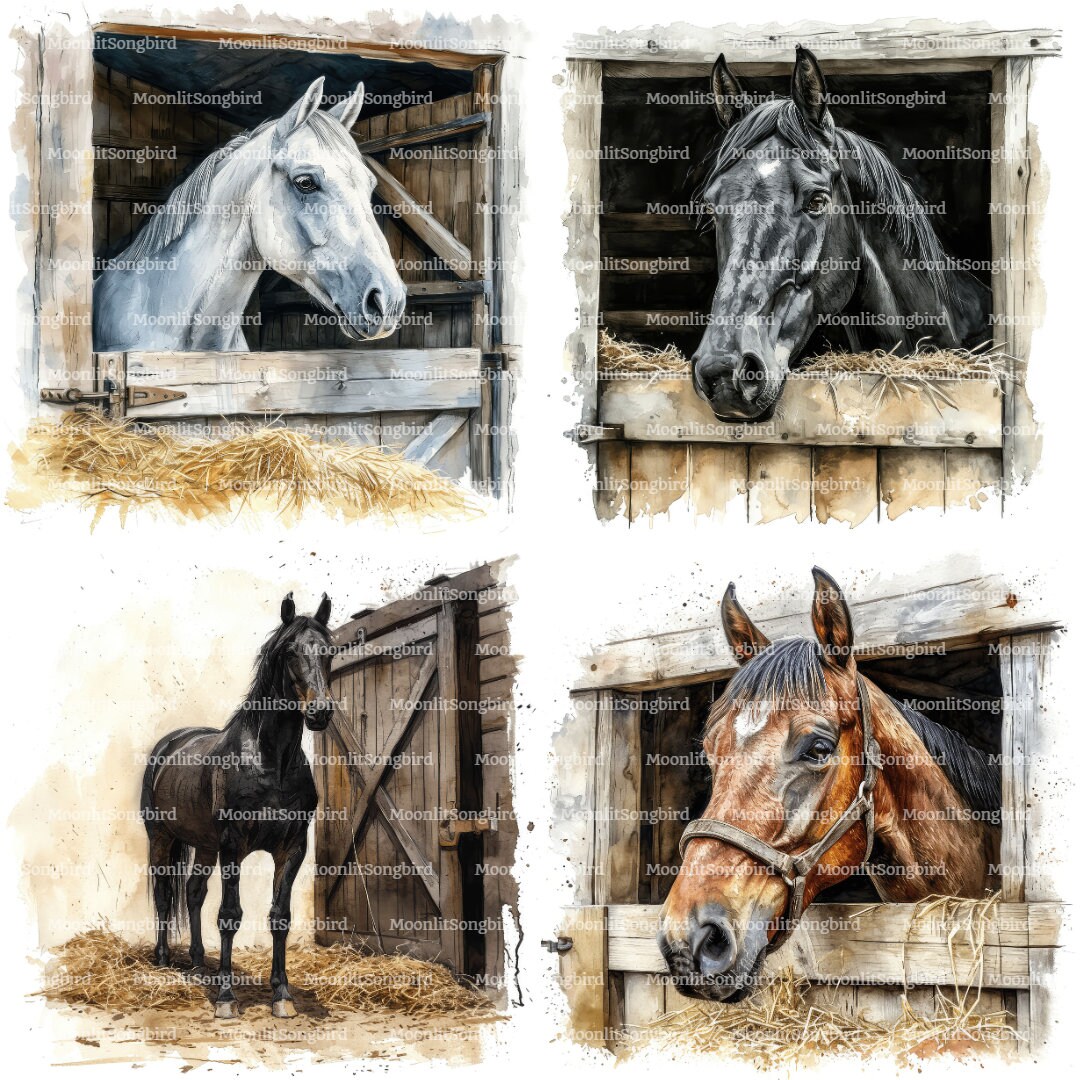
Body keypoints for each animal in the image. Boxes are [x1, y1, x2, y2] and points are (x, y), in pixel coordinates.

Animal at [141, 592, 336, 1018]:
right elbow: (229, 916)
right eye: (289, 652)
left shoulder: (292, 848)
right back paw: (162, 958)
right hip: (161, 838)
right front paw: (227, 998)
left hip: (203, 846)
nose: (320, 711)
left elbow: (280, 917)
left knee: (193, 892)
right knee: (164, 894)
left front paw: (281, 995)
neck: (271, 761)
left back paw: (198, 962)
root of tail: (169, 744)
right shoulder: (233, 845)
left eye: (329, 651)